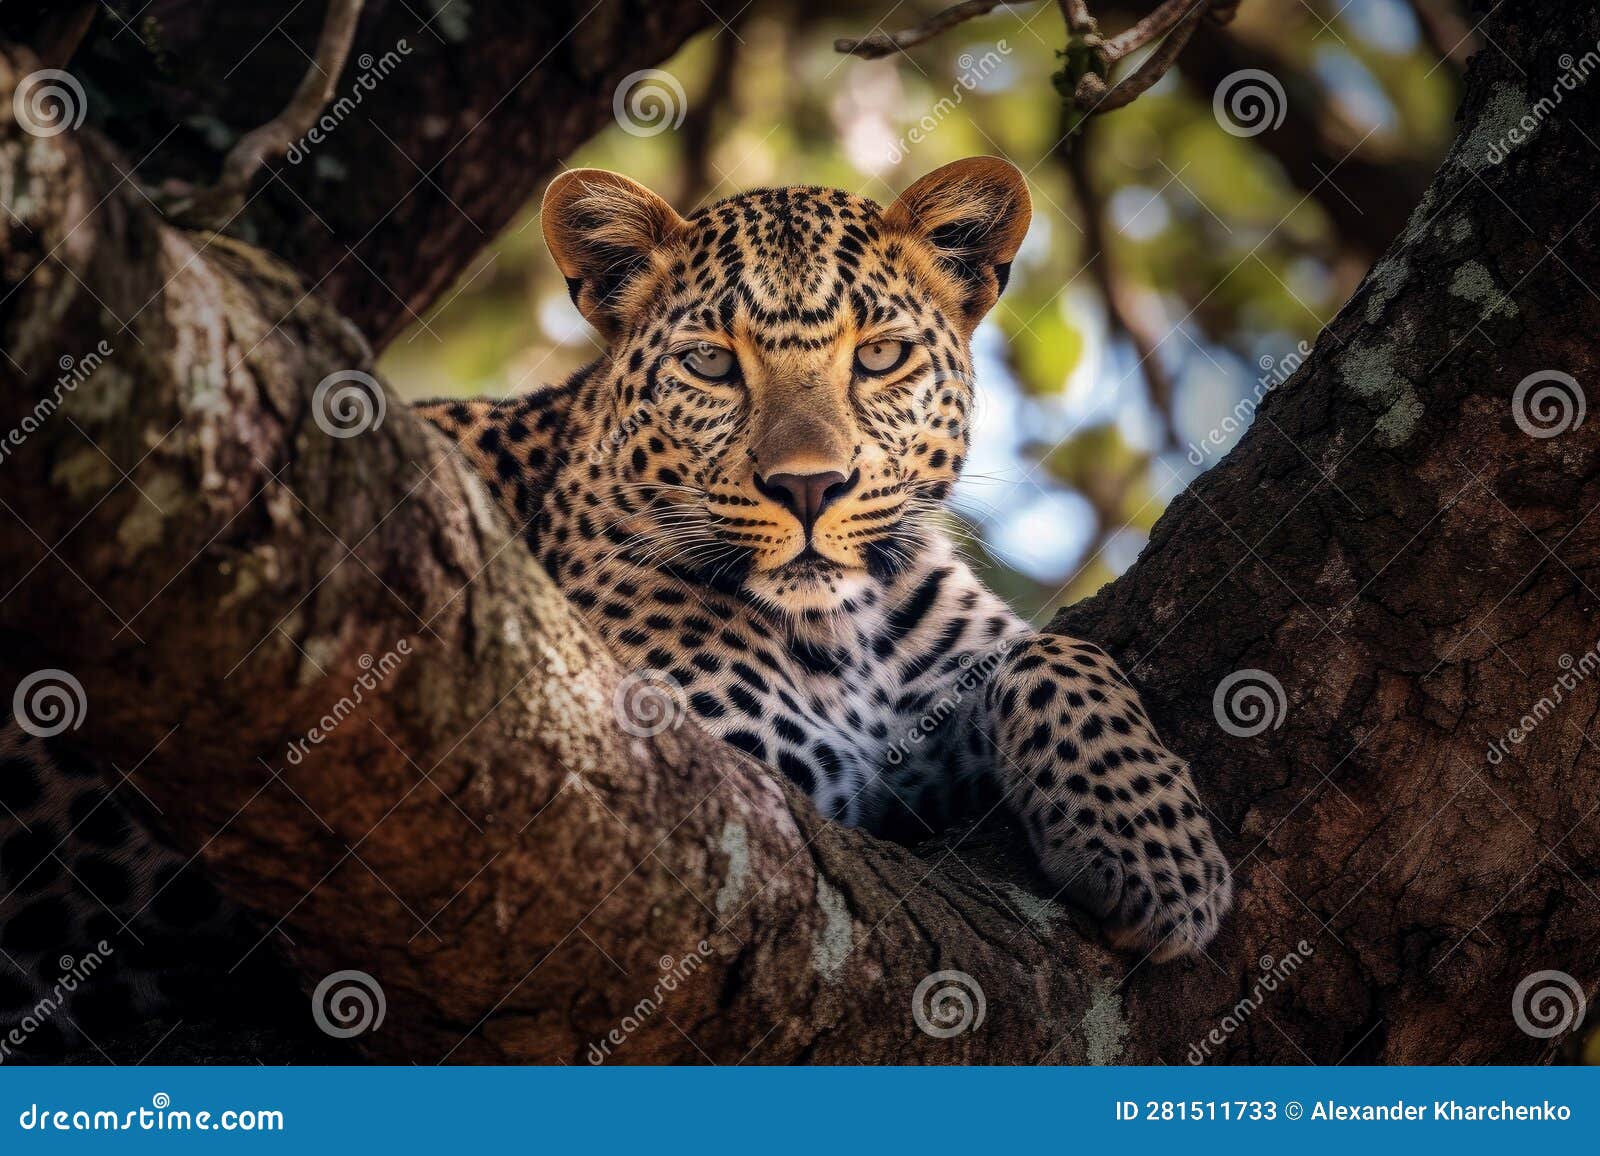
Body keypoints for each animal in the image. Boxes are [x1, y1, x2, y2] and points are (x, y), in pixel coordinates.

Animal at [0, 157, 1230, 1054]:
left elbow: (1057, 657)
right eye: (711, 365)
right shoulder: (755, 790)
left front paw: (1160, 855)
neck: (846, 631)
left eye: (878, 356)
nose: (809, 488)